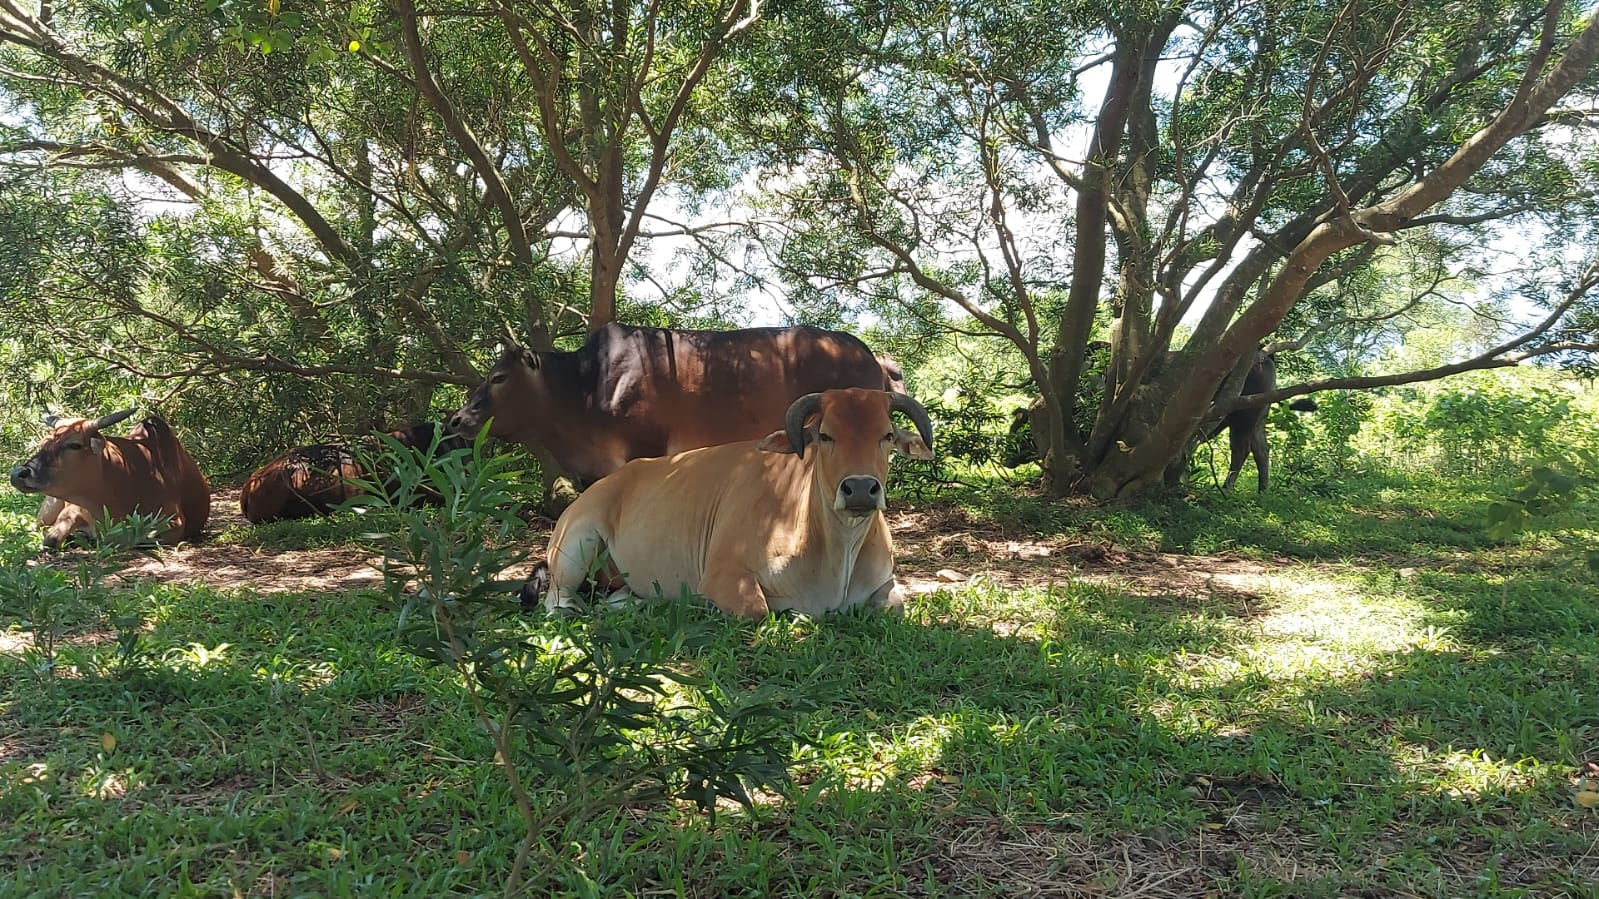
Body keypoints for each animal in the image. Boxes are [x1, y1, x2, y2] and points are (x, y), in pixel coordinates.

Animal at [9, 410, 210, 548]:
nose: (19, 473)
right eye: (44, 442)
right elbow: (51, 539)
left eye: (74, 445)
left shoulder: (173, 523)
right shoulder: (72, 509)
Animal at [527, 388, 934, 619]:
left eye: (887, 435)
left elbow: (894, 609)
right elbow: (756, 611)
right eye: (825, 435)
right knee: (556, 601)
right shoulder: (725, 575)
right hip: (576, 541)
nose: (861, 489)